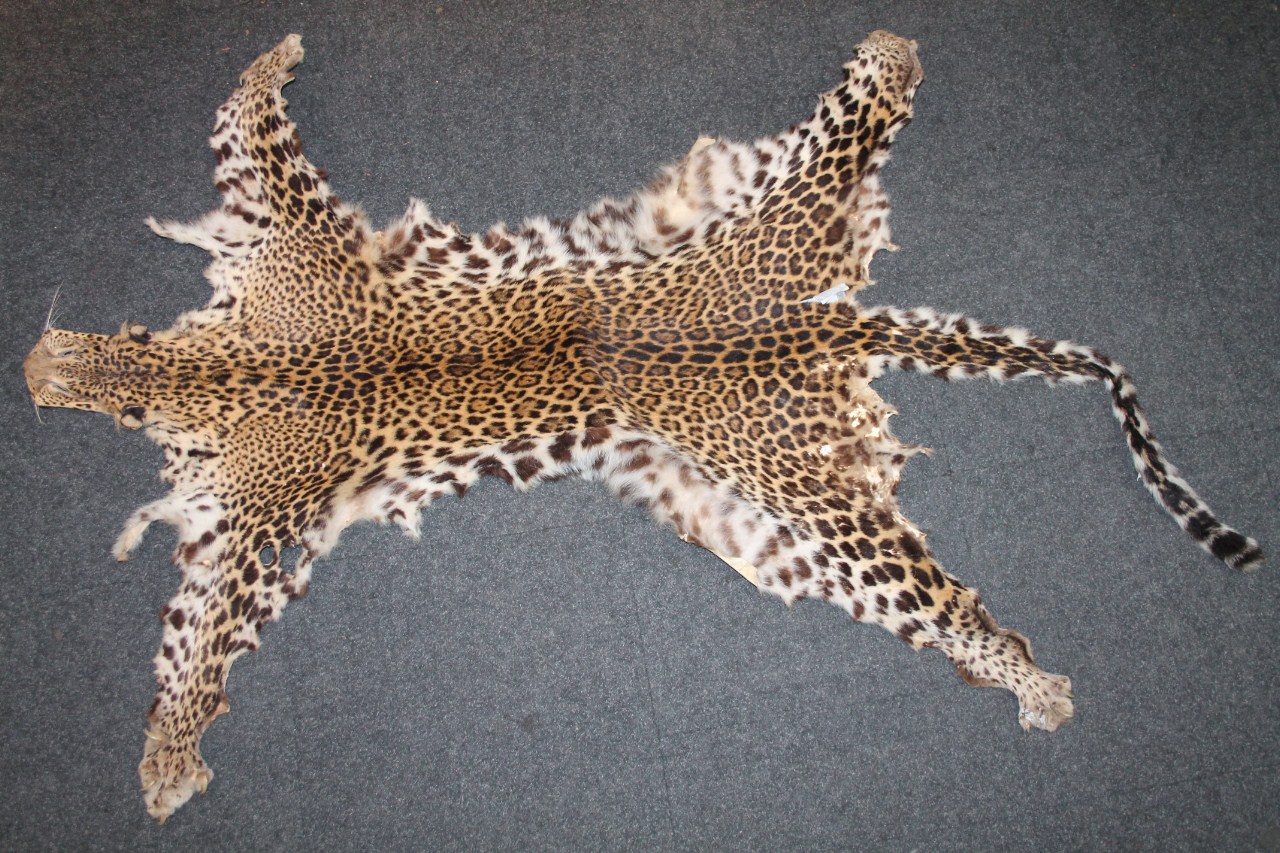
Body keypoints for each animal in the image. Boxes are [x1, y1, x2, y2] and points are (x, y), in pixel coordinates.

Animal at [23, 31, 1262, 823]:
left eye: (126, 369)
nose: (33, 365)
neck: (212, 363)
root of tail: (812, 322)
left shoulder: (259, 445)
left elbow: (193, 647)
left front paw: (166, 758)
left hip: (817, 483)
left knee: (953, 609)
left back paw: (1031, 685)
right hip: (749, 409)